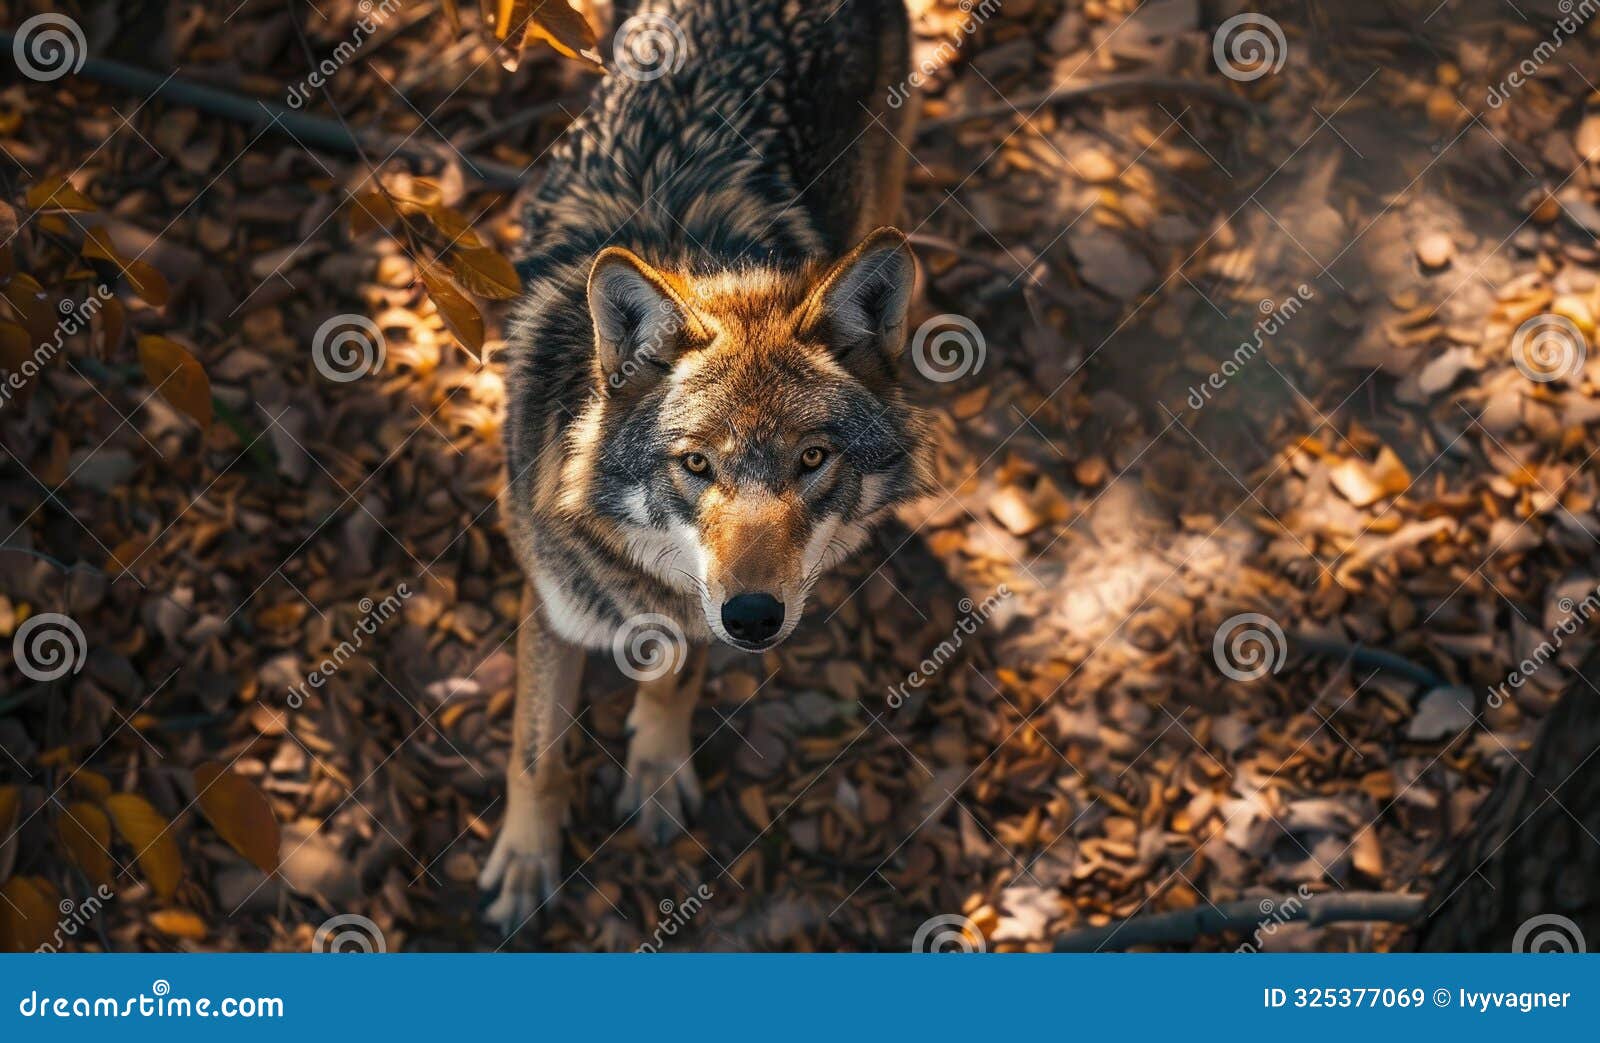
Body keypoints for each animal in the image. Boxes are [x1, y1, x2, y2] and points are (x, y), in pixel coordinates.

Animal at [481, 0, 932, 932]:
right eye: (695, 462)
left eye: (812, 458)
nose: (755, 617)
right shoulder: (554, 605)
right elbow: (537, 755)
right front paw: (525, 865)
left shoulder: (698, 613)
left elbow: (675, 682)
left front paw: (655, 776)